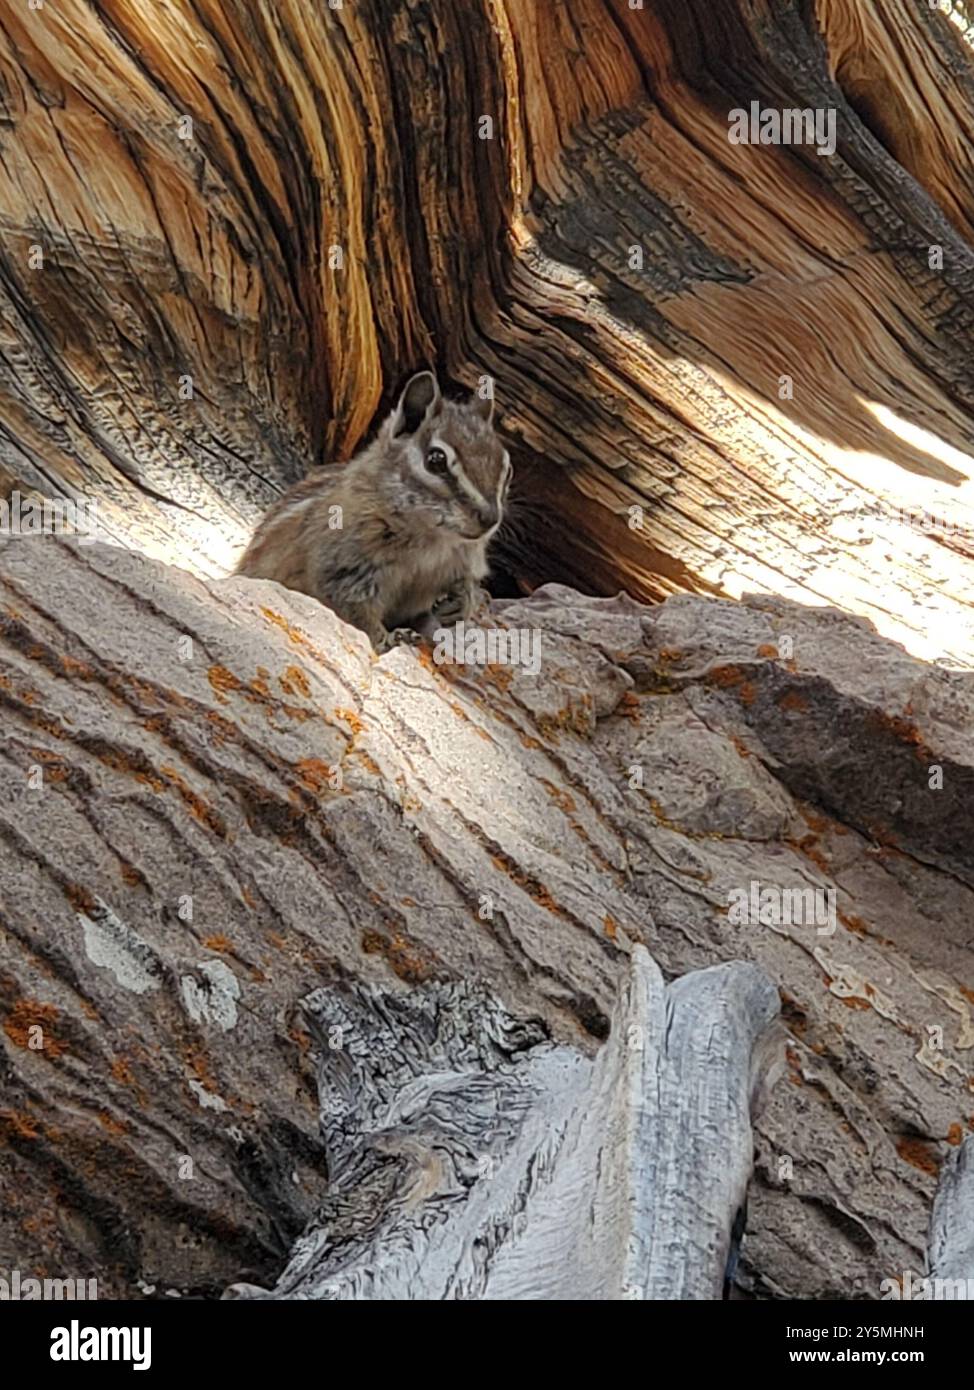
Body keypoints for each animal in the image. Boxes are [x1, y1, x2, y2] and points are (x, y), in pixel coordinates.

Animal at [236, 372, 511, 651]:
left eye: (507, 467)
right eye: (436, 460)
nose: (490, 518)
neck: (432, 540)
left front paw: (462, 601)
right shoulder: (344, 570)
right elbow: (357, 614)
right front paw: (389, 639)